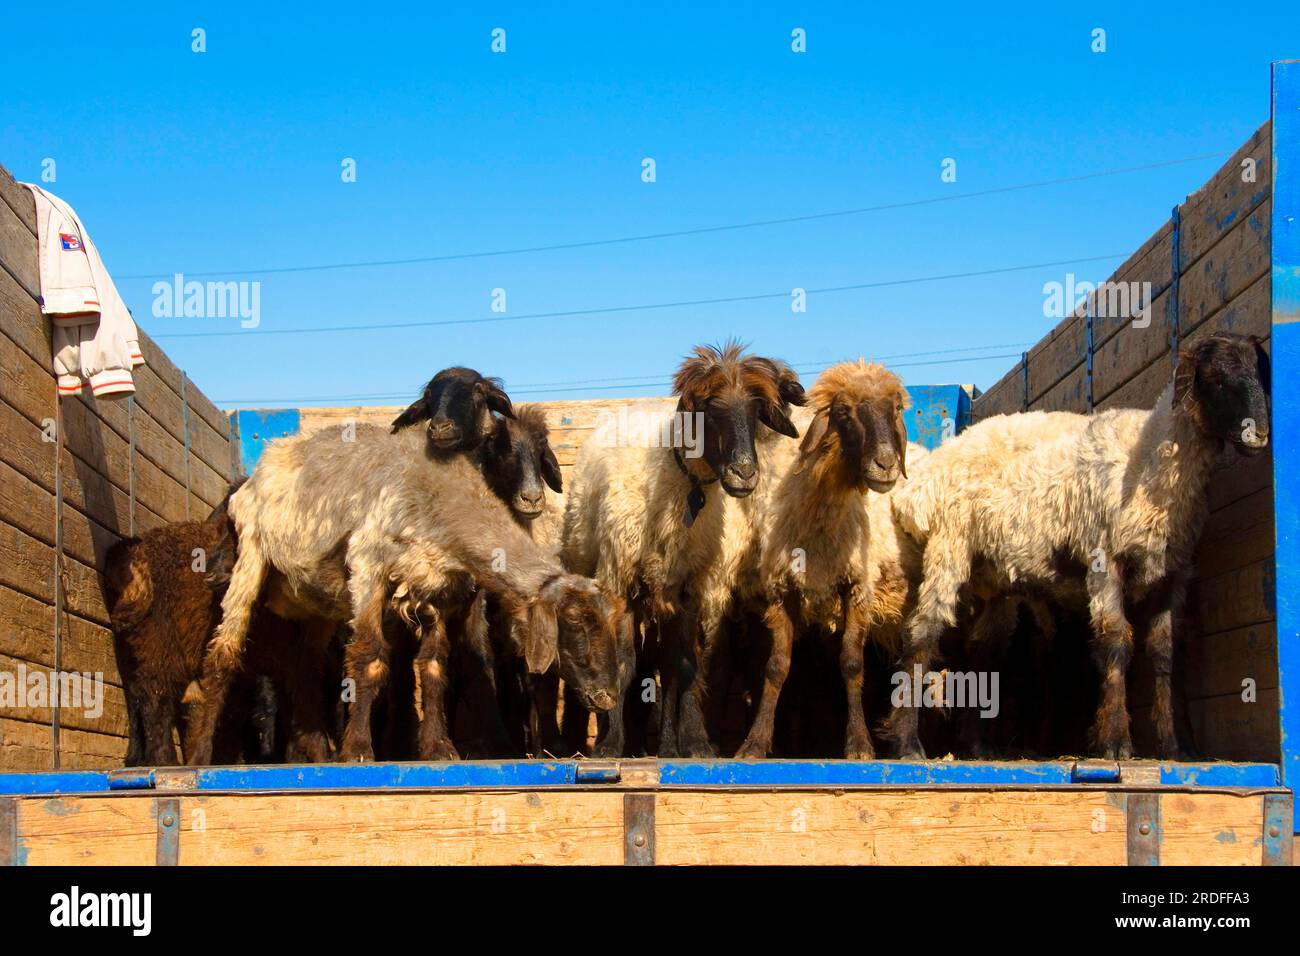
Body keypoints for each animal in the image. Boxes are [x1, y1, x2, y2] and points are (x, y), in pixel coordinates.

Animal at [183, 422, 622, 765]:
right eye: (573, 623)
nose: (607, 697)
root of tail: (258, 470)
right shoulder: (368, 567)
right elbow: (369, 658)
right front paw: (359, 750)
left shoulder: (437, 590)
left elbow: (434, 668)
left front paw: (439, 749)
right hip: (252, 556)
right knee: (223, 654)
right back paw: (200, 755)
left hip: (318, 603)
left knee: (305, 670)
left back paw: (318, 752)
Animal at [561, 342, 805, 757]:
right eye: (708, 408)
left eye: (755, 411)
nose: (744, 473)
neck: (680, 483)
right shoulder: (622, 579)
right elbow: (624, 662)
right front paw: (610, 745)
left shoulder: (691, 585)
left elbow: (686, 666)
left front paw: (693, 742)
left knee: (668, 667)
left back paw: (666, 746)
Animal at [737, 360, 925, 758]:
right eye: (843, 413)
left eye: (895, 409)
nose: (886, 464)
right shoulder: (782, 591)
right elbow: (776, 667)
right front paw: (755, 743)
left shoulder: (857, 589)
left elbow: (852, 664)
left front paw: (859, 744)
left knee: (918, 661)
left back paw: (911, 744)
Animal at [884, 333, 1271, 760]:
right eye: (1216, 380)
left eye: (1260, 370)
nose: (1258, 435)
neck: (1149, 460)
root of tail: (922, 482)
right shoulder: (1105, 559)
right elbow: (1115, 641)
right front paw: (1116, 742)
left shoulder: (1173, 573)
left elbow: (1165, 650)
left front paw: (1175, 746)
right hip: (949, 547)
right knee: (922, 633)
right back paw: (908, 745)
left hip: (993, 580)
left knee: (982, 650)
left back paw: (977, 747)